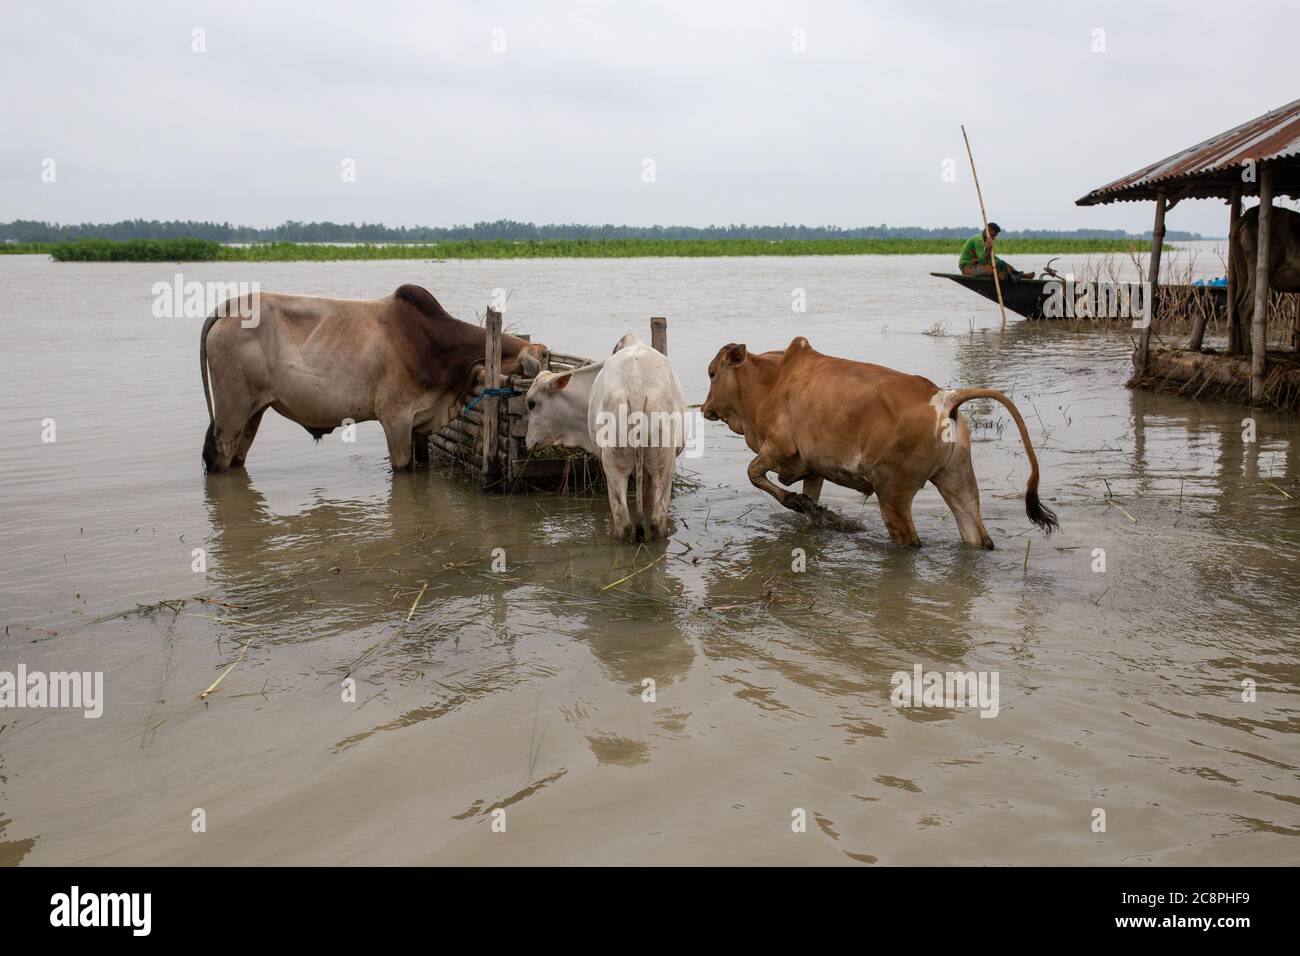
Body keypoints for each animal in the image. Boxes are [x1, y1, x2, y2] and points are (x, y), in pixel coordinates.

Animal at [199, 284, 549, 472]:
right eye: (545, 359)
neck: (434, 345)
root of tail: (229, 306)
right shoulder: (395, 420)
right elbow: (404, 467)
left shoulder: (418, 424)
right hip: (231, 413)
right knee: (219, 456)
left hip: (253, 412)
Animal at [522, 333, 686, 542]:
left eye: (531, 403)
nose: (527, 442)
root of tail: (636, 389)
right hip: (663, 463)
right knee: (657, 521)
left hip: (614, 463)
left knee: (624, 523)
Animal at [699, 336, 1058, 548]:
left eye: (712, 373)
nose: (704, 408)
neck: (770, 382)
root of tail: (943, 397)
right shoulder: (813, 468)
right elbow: (809, 499)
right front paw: (819, 512)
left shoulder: (778, 447)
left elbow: (754, 474)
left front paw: (798, 502)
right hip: (957, 481)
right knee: (976, 534)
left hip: (893, 493)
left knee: (910, 541)